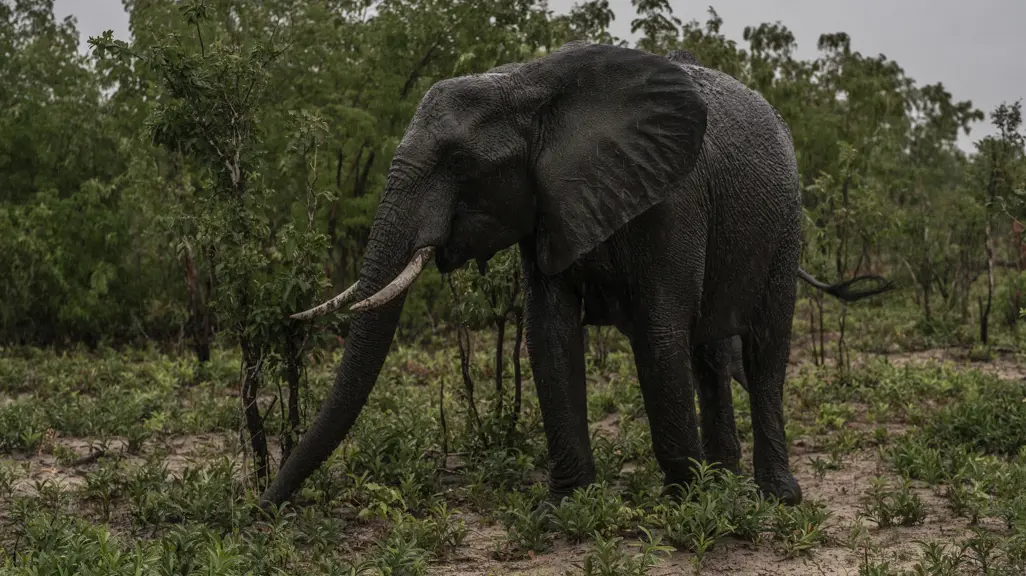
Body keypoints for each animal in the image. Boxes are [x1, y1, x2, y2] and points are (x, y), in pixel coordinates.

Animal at [257, 41, 894, 510]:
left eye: (460, 162)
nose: (261, 509)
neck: (529, 86)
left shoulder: (676, 197)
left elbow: (658, 334)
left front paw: (687, 509)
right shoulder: (546, 205)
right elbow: (549, 333)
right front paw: (566, 509)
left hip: (787, 222)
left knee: (763, 351)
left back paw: (773, 499)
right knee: (710, 356)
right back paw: (725, 480)